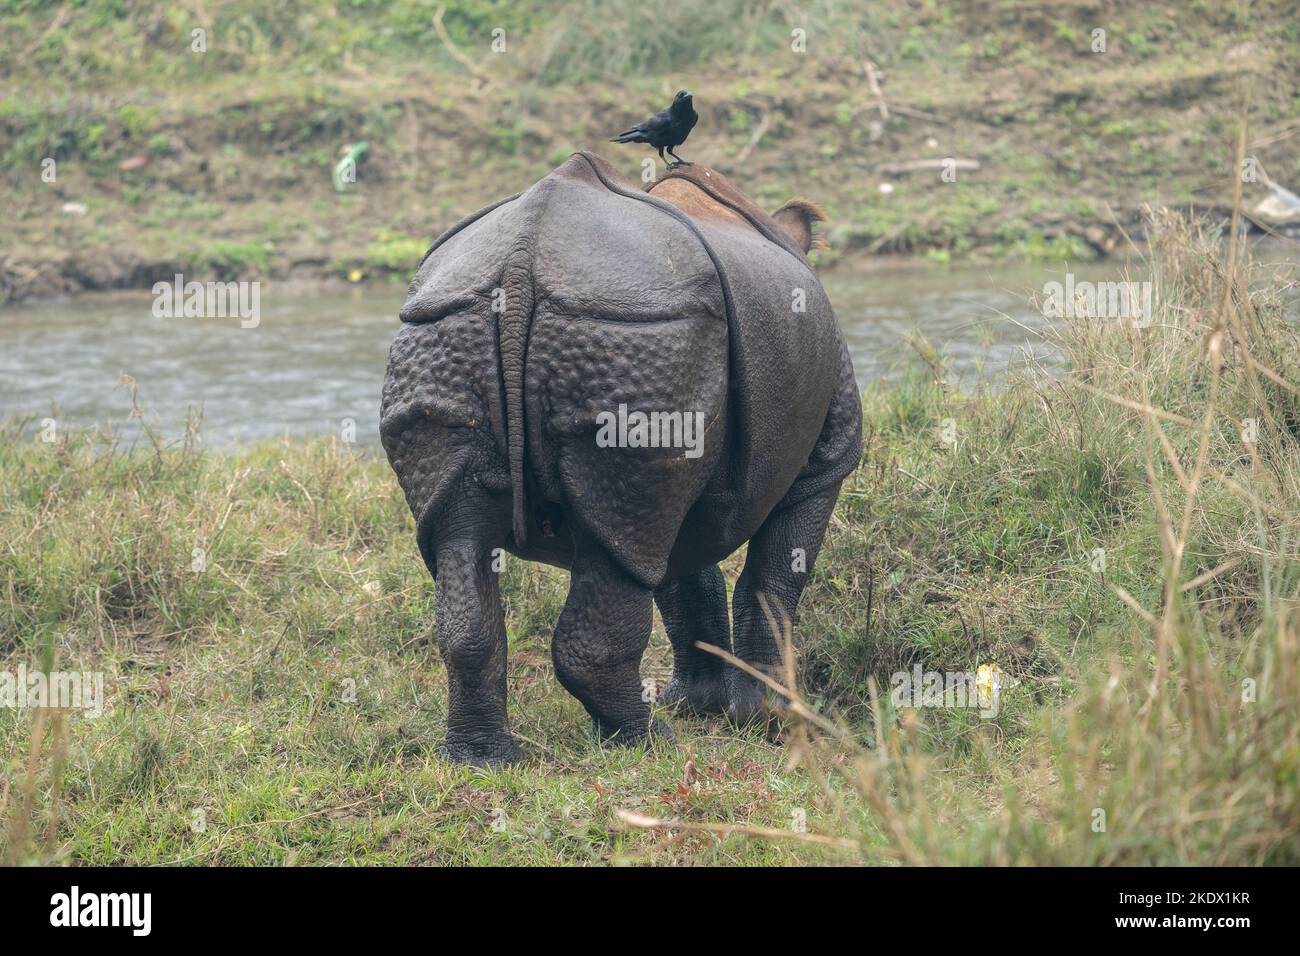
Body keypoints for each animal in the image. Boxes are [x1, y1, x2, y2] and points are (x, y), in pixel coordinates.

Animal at [380, 152, 861, 767]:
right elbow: (774, 576)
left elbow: (683, 577)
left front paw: (703, 705)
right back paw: (648, 742)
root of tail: (521, 261)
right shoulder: (827, 462)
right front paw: (772, 717)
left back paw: (485, 760)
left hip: (451, 327)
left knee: (466, 535)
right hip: (632, 329)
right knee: (619, 535)